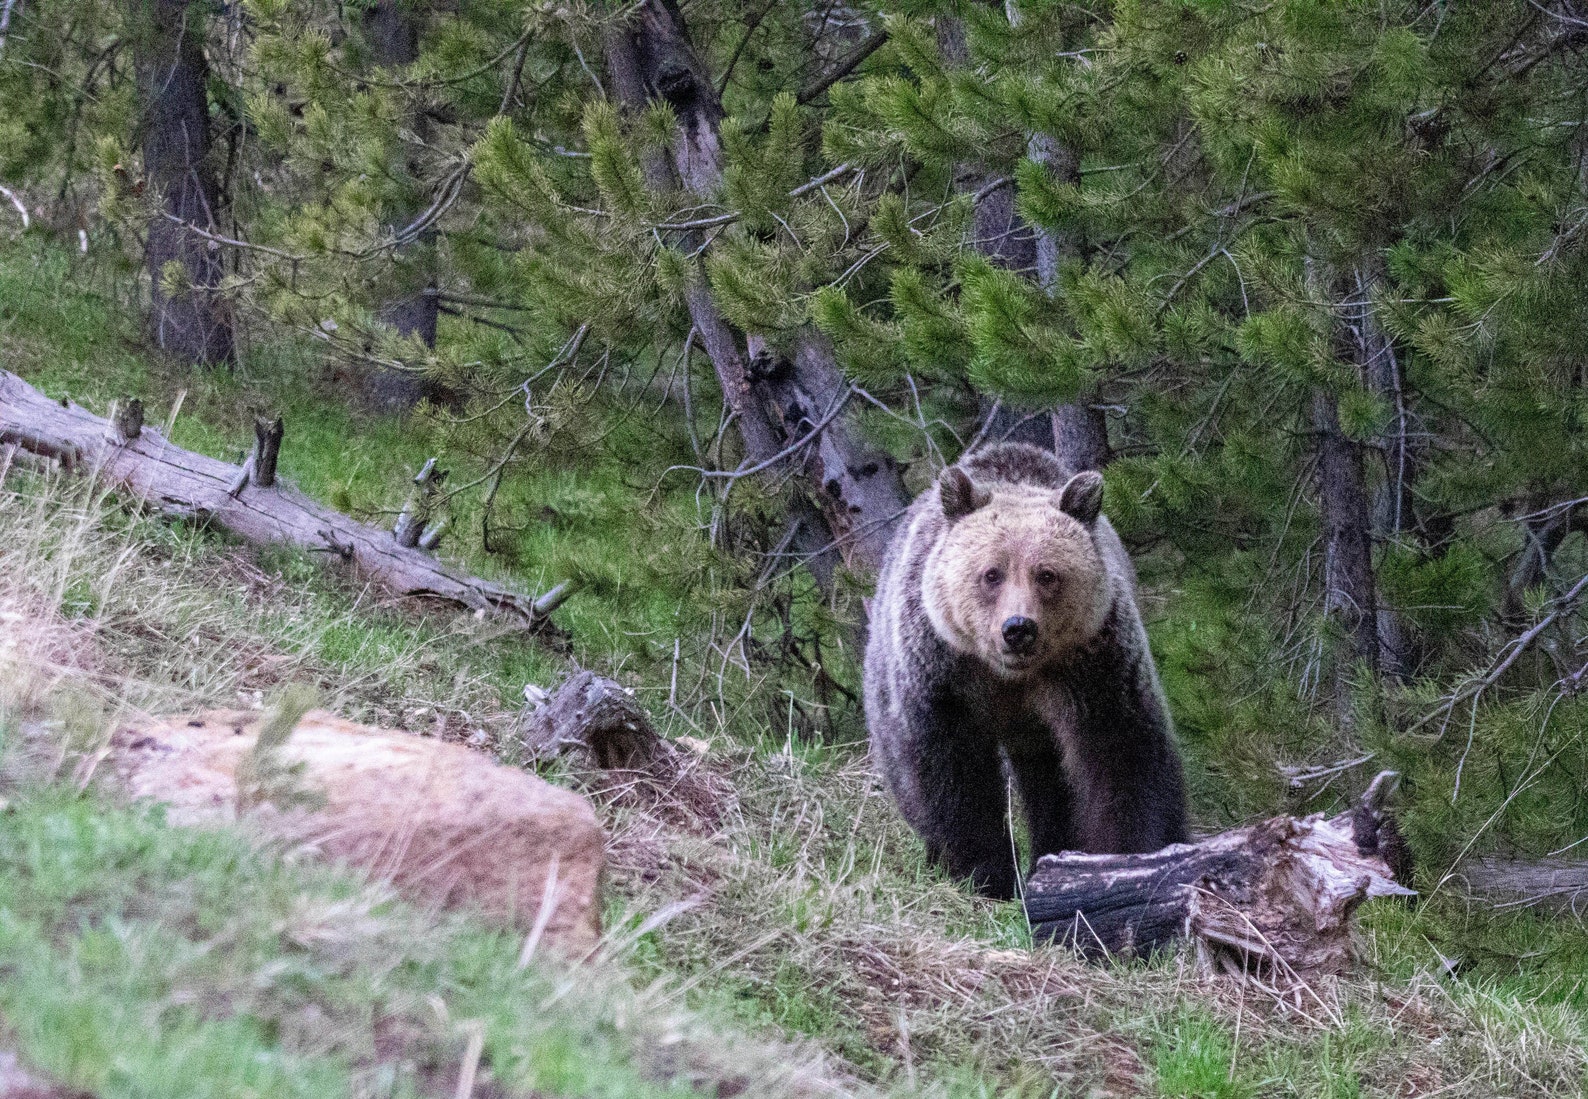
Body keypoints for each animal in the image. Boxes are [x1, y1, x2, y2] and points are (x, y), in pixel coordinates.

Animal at [864, 441, 1187, 899]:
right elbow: (952, 774)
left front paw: (1130, 855)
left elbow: (1122, 754)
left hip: (1039, 731)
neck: (1010, 677)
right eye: (991, 573)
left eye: (1047, 574)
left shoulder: (1094, 666)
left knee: (1050, 782)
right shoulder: (943, 675)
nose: (1018, 628)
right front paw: (985, 873)